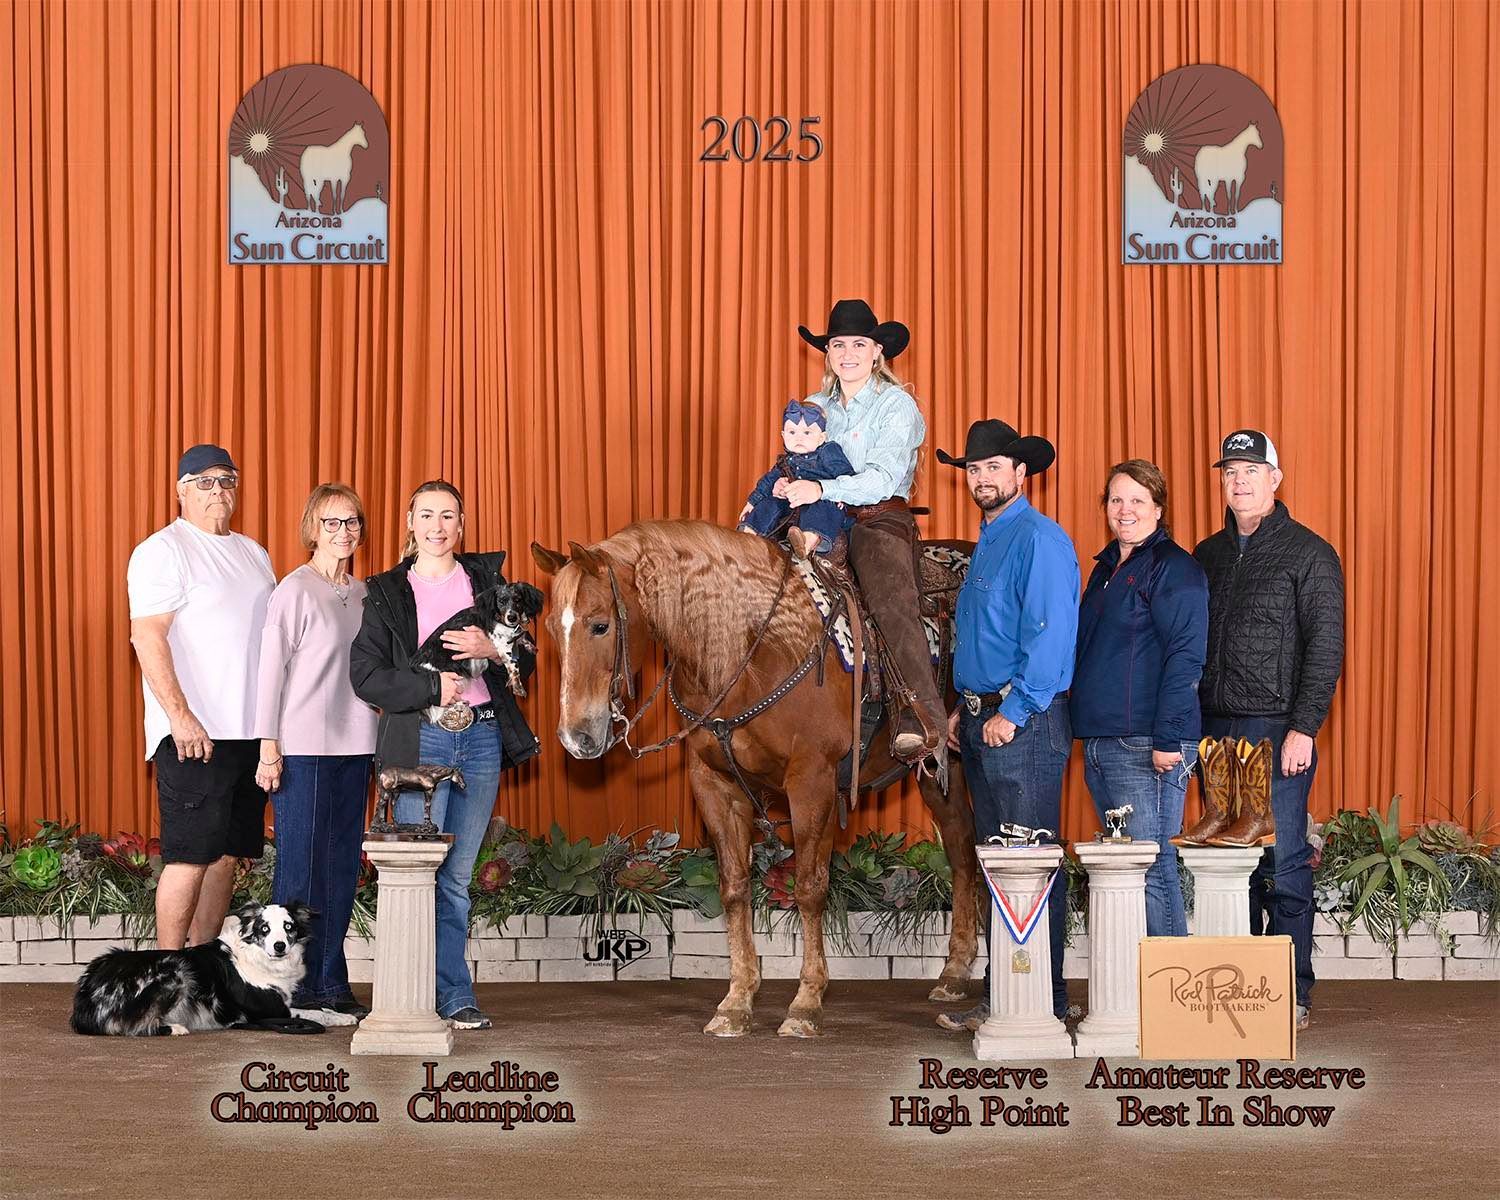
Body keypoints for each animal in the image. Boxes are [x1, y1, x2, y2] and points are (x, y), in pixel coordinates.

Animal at [532, 519, 980, 1038]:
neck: (757, 651)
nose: (576, 737)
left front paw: (805, 1003)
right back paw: (955, 973)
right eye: (551, 628)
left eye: (600, 623)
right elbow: (734, 886)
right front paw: (736, 1001)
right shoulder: (714, 784)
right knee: (962, 848)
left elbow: (809, 888)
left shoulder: (812, 781)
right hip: (936, 771)